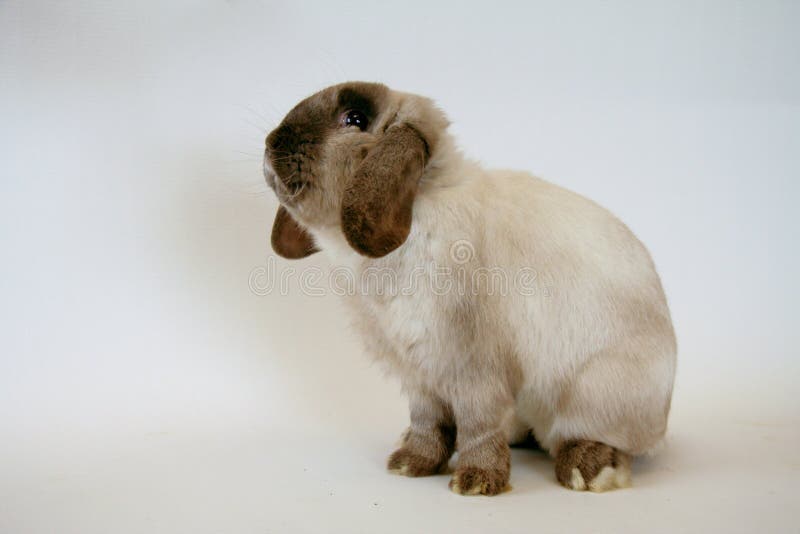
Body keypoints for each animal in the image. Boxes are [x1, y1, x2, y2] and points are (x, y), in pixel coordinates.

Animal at [263, 82, 677, 495]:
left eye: (354, 120)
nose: (270, 144)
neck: (420, 204)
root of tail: (663, 417)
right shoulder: (419, 376)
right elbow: (427, 423)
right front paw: (410, 463)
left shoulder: (471, 367)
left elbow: (478, 424)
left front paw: (476, 482)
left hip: (593, 394)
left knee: (594, 438)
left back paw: (587, 469)